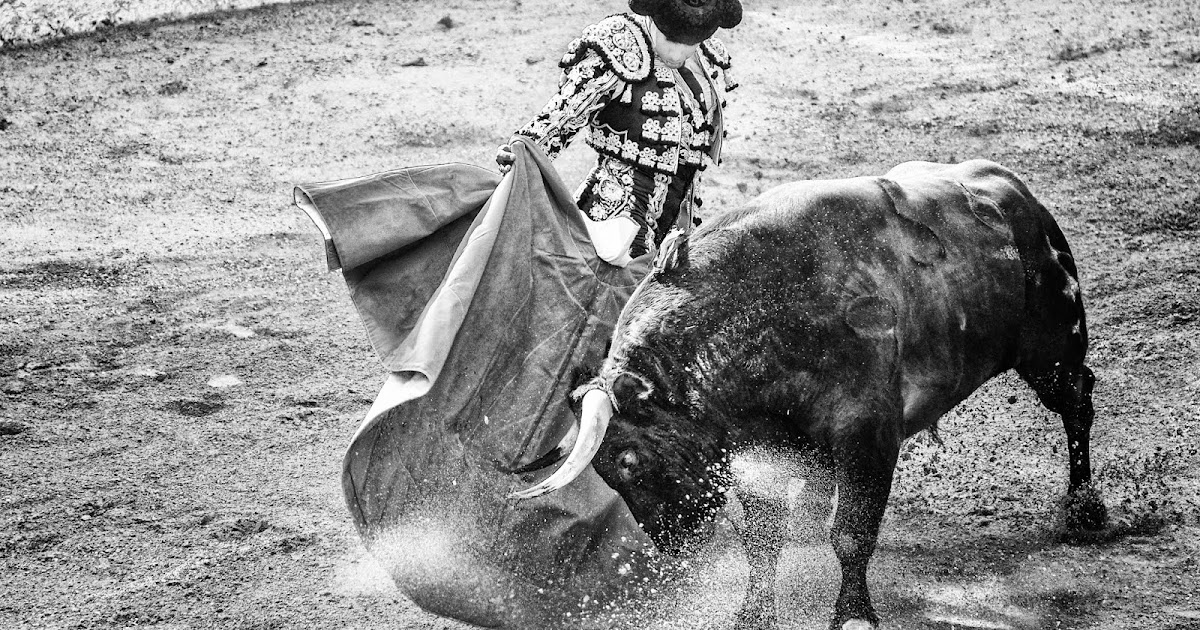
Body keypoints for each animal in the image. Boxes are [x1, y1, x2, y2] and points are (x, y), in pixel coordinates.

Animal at [510, 160, 1109, 629]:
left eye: (629, 460)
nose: (674, 548)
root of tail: (1021, 196)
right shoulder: (766, 453)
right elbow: (763, 538)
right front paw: (753, 613)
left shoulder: (869, 436)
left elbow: (850, 533)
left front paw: (854, 613)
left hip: (1052, 352)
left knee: (1079, 403)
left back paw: (1084, 510)